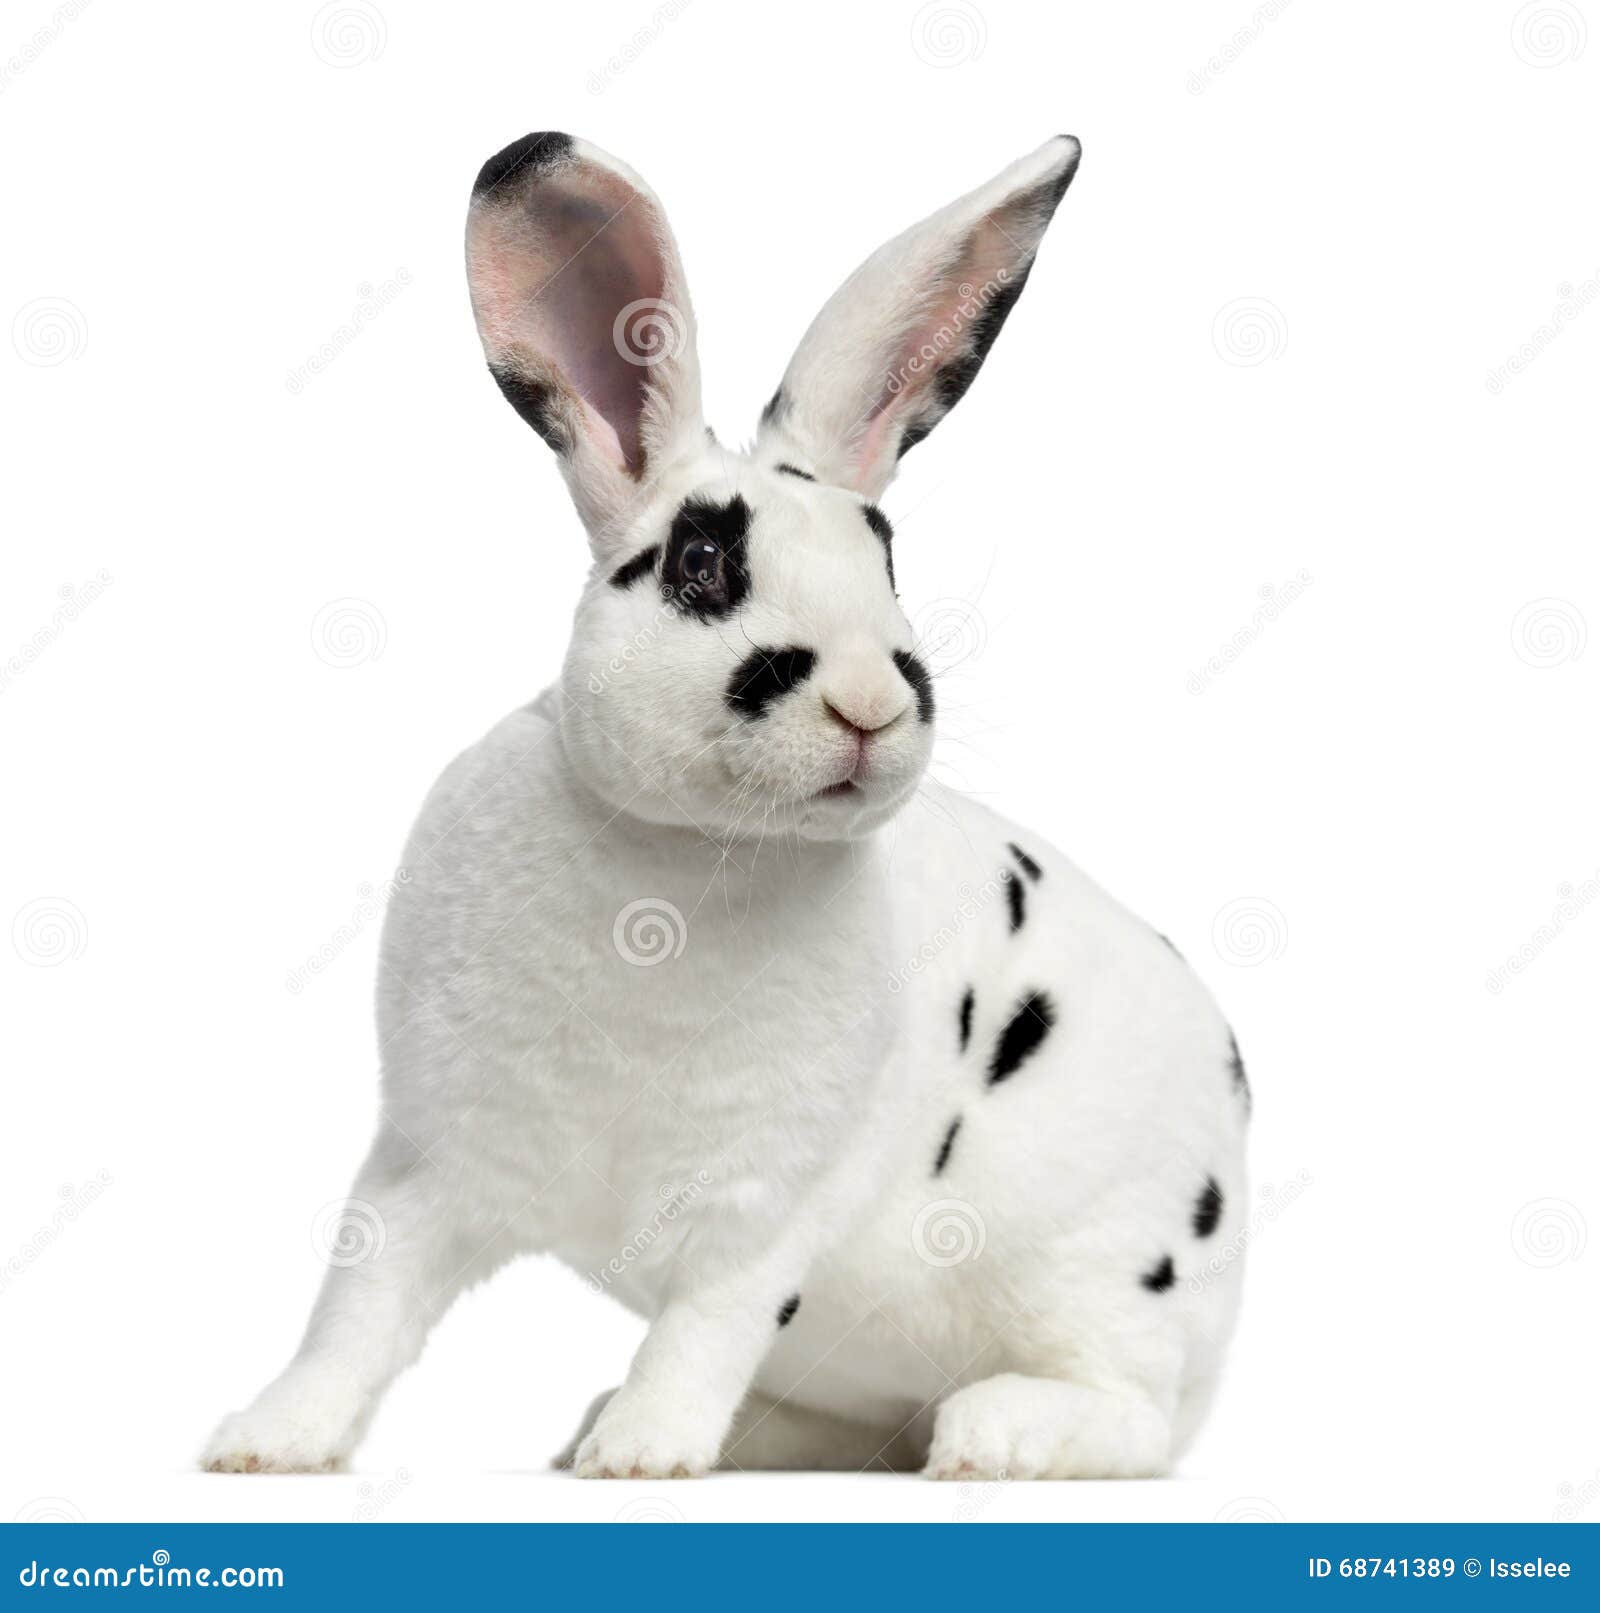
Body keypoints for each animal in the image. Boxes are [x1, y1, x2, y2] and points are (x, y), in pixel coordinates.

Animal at [202, 130, 1248, 1481]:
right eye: (701, 564)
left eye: (886, 563)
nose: (872, 702)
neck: (682, 858)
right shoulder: (422, 1157)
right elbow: (356, 1308)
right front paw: (263, 1442)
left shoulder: (768, 1199)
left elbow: (710, 1319)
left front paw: (643, 1455)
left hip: (1099, 1275)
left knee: (1130, 1415)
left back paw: (992, 1434)